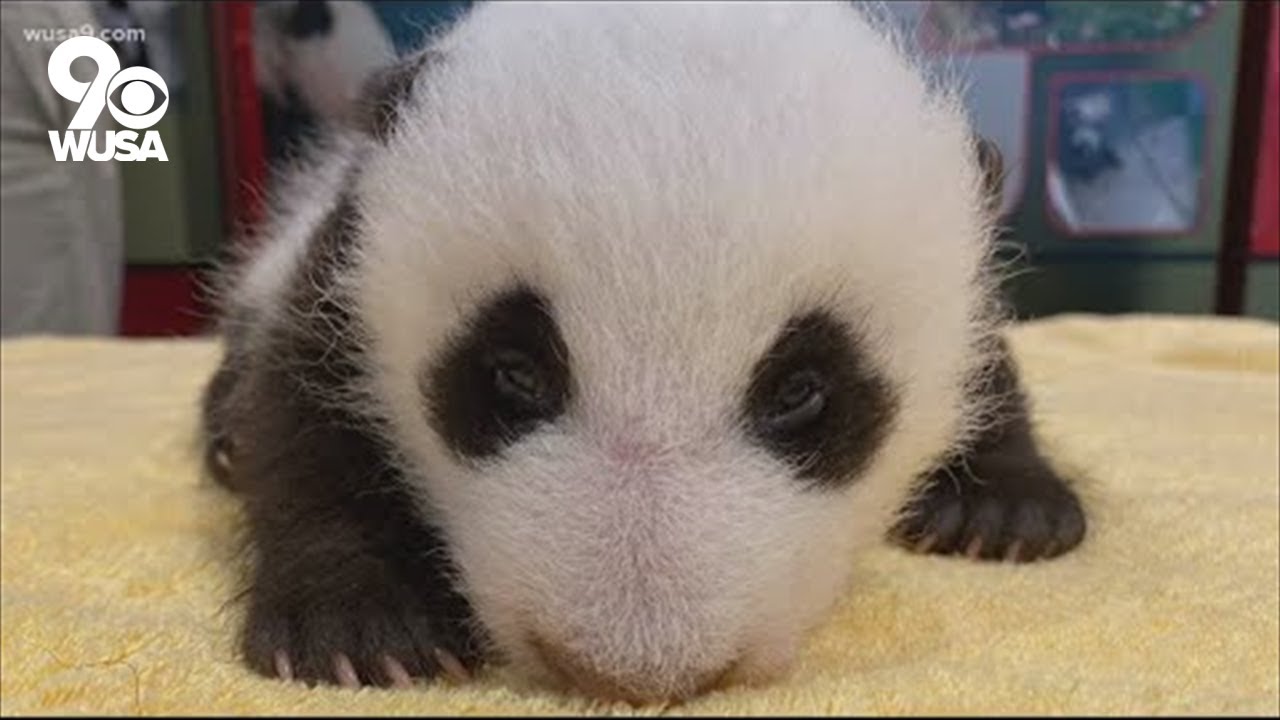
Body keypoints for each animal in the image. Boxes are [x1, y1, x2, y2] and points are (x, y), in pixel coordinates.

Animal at [202, 1, 1086, 705]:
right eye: (515, 373)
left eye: (802, 392)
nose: (629, 673)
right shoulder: (347, 266)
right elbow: (299, 418)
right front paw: (359, 629)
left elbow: (985, 361)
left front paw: (1007, 511)